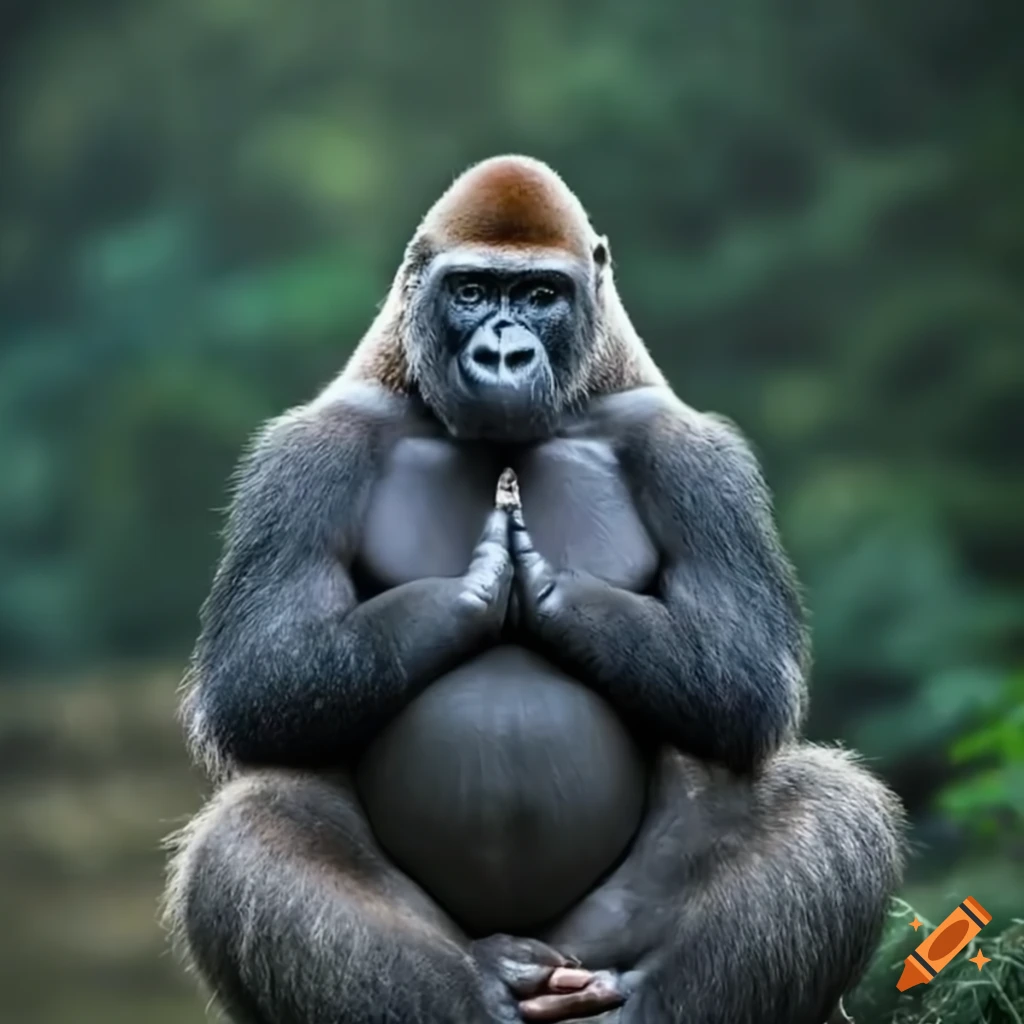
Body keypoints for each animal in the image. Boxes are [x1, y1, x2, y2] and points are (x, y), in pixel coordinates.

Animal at [163, 155, 905, 1024]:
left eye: (541, 296)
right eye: (473, 291)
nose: (504, 355)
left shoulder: (693, 454)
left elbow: (744, 673)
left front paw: (549, 591)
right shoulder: (310, 451)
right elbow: (263, 673)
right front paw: (476, 590)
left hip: (597, 941)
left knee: (827, 805)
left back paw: (644, 1002)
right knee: (253, 831)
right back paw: (473, 991)